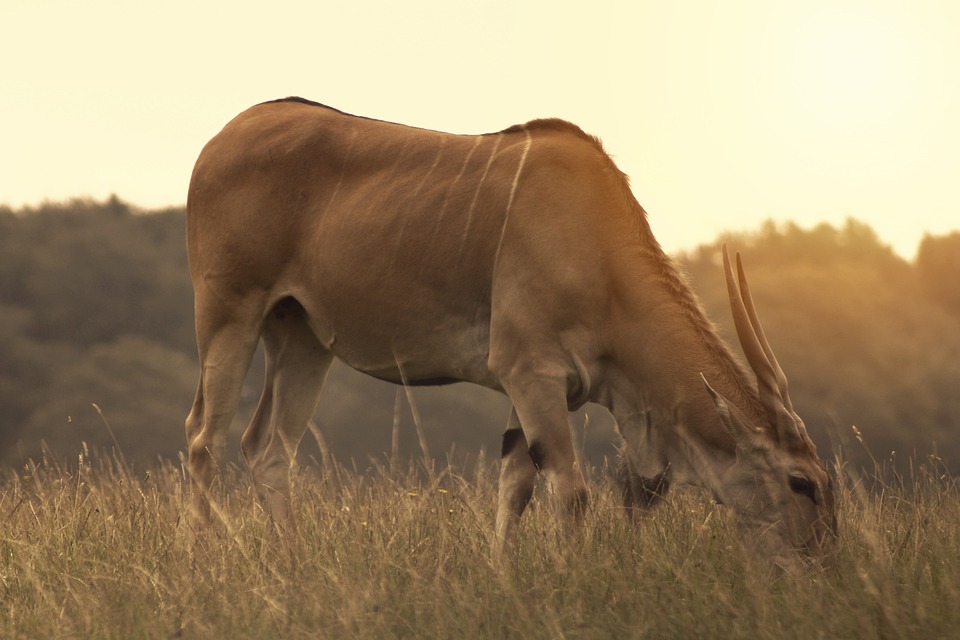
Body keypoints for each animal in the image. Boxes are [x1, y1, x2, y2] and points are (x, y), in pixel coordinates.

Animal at [185, 97, 836, 568]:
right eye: (802, 482)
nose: (822, 566)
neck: (600, 250)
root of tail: (223, 138)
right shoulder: (532, 373)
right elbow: (571, 492)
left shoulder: (532, 391)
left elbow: (515, 487)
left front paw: (502, 578)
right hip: (228, 314)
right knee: (203, 438)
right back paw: (209, 563)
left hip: (302, 337)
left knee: (267, 448)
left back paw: (293, 568)